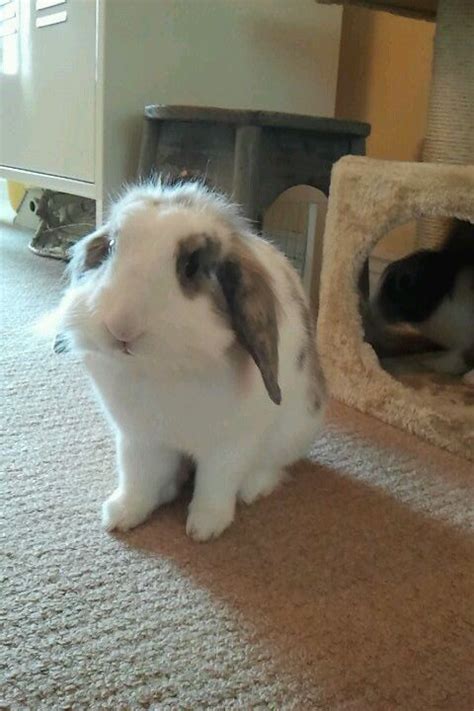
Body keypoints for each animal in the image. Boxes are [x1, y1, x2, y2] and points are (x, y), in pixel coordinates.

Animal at [49, 181, 326, 541]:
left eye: (192, 266)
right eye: (110, 248)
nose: (121, 328)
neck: (161, 369)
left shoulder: (228, 447)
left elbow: (215, 486)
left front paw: (204, 529)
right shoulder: (139, 440)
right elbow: (138, 479)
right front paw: (121, 515)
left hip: (293, 434)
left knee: (269, 467)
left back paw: (253, 489)